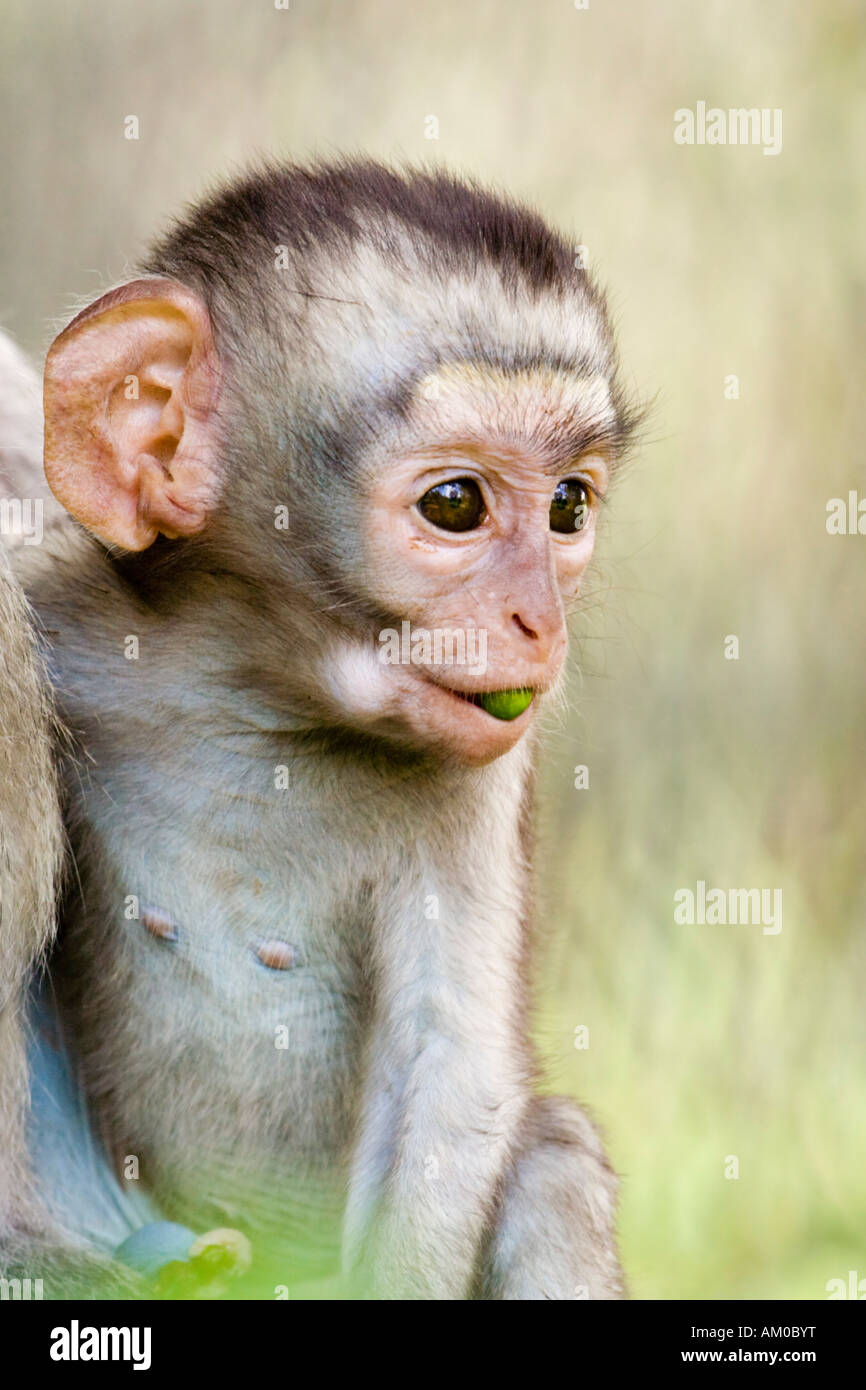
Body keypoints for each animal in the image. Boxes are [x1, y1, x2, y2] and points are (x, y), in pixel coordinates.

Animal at [10, 160, 640, 1299]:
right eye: (454, 504)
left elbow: (448, 1074)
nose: (540, 620)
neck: (257, 700)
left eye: (568, 508)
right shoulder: (54, 624)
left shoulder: (485, 770)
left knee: (553, 1154)